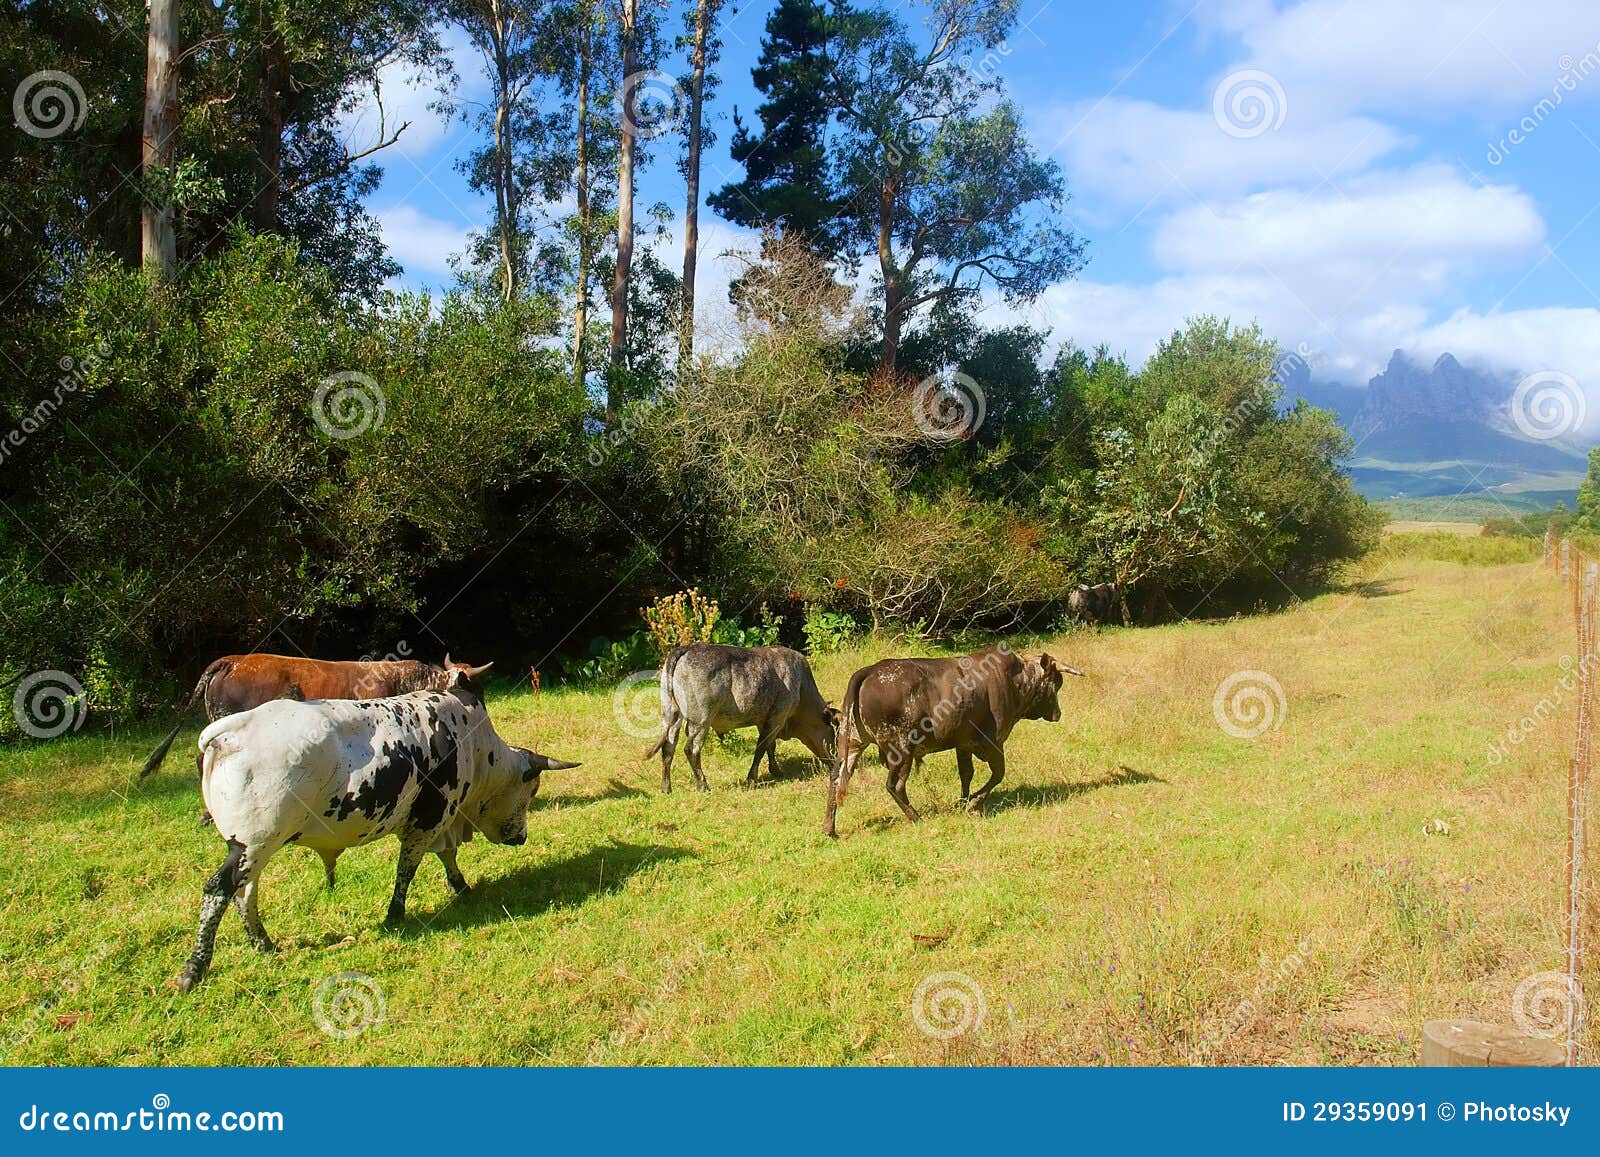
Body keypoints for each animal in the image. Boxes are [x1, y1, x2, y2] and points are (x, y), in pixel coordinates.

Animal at [174, 679, 579, 991]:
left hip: (253, 848)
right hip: (253, 843)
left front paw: (460, 885)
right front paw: (394, 915)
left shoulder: (437, 821)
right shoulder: (428, 819)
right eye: (533, 790)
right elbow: (408, 869)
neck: (474, 745)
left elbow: (446, 855)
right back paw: (195, 968)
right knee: (217, 889)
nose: (521, 837)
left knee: (244, 893)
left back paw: (263, 943)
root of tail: (232, 729)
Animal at [644, 643, 841, 793]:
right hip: (701, 720)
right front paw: (751, 779)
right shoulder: (778, 717)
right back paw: (703, 785)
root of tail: (687, 648)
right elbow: (761, 748)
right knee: (690, 749)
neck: (802, 688)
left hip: (671, 713)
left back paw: (666, 788)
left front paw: (776, 770)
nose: (836, 762)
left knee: (668, 748)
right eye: (834, 733)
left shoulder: (765, 721)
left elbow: (770, 747)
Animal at [822, 646, 1083, 838]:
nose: (1057, 714)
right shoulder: (993, 743)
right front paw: (973, 803)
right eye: (1056, 682)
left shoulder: (963, 744)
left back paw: (829, 829)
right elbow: (998, 774)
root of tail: (869, 671)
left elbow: (966, 773)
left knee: (836, 778)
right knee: (894, 785)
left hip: (853, 742)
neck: (1014, 679)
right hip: (902, 749)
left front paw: (963, 801)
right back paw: (916, 817)